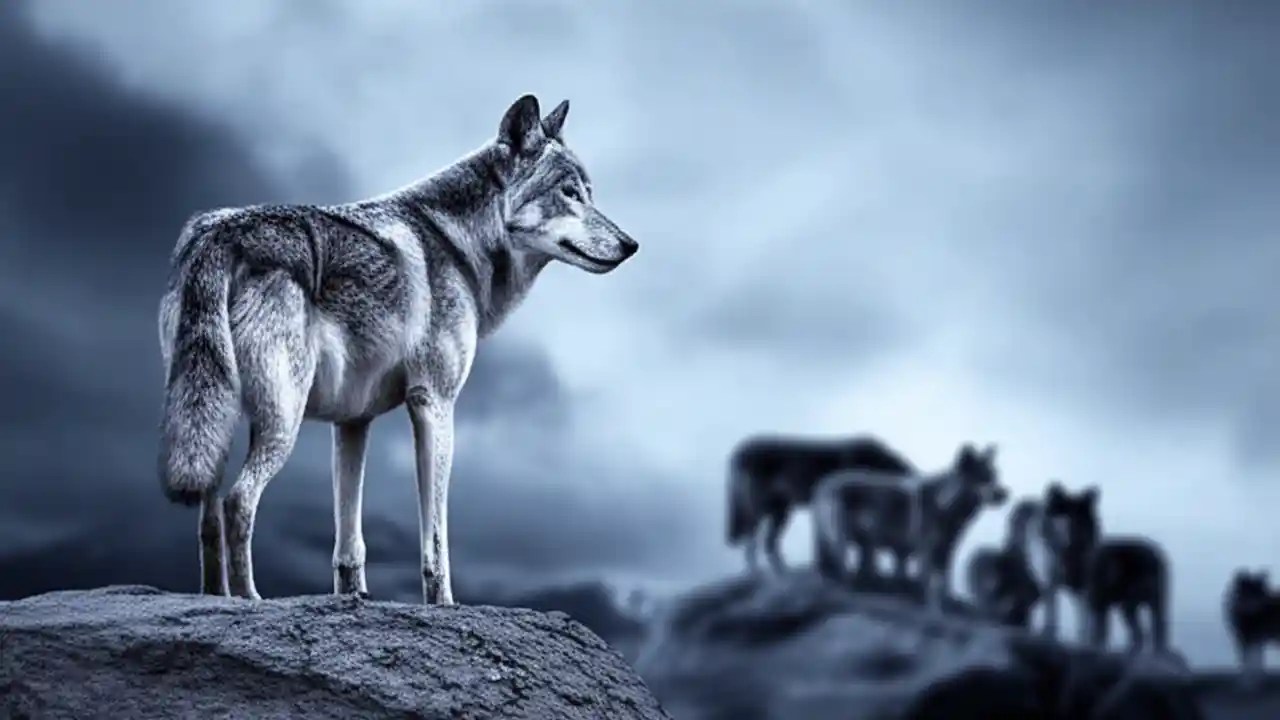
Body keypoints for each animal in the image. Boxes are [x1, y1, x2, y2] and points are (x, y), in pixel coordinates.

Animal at [157, 95, 637, 604]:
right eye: (570, 193)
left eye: (589, 193)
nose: (631, 244)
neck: (459, 245)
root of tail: (215, 235)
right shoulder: (434, 405)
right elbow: (436, 540)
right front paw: (444, 605)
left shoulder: (352, 421)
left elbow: (349, 544)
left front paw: (353, 600)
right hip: (281, 422)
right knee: (238, 501)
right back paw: (250, 600)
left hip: (212, 422)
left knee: (208, 515)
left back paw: (215, 598)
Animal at [725, 434, 915, 574]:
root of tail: (739, 450)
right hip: (761, 512)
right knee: (754, 541)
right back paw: (759, 573)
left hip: (781, 512)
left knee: (767, 544)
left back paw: (783, 572)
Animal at [812, 443, 1007, 612]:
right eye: (983, 477)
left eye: (995, 475)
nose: (1005, 493)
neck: (945, 507)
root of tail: (826, 482)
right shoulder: (925, 551)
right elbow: (928, 585)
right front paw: (932, 609)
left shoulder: (945, 552)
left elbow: (944, 583)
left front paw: (946, 606)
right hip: (842, 542)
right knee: (840, 575)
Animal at [1040, 483, 1170, 654]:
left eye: (1060, 503)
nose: (1047, 506)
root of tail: (1155, 559)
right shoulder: (1096, 602)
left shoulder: (1095, 600)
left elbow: (1096, 636)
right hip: (1153, 604)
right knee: (1152, 636)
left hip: (1131, 603)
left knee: (1141, 637)